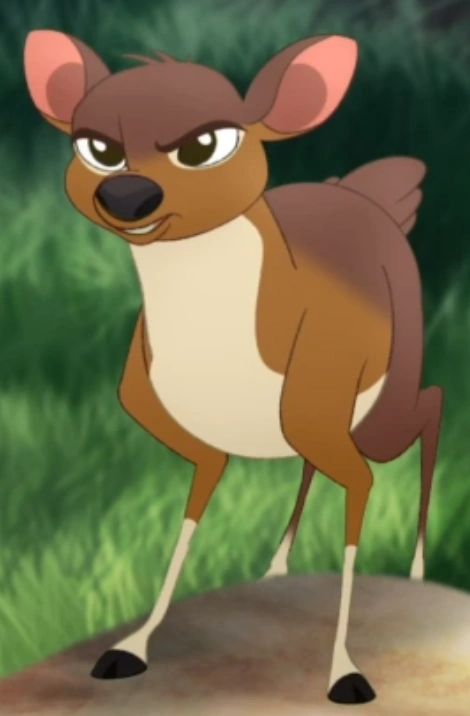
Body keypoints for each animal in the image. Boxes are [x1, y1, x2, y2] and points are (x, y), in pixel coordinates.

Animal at [23, 29, 443, 705]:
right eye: (98, 148)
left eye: (206, 145)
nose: (126, 195)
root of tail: (360, 190)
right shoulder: (188, 433)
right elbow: (189, 519)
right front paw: (132, 646)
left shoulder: (329, 417)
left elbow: (357, 511)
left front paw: (346, 671)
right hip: (317, 422)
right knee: (311, 462)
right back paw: (276, 565)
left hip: (380, 404)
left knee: (431, 404)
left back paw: (418, 568)